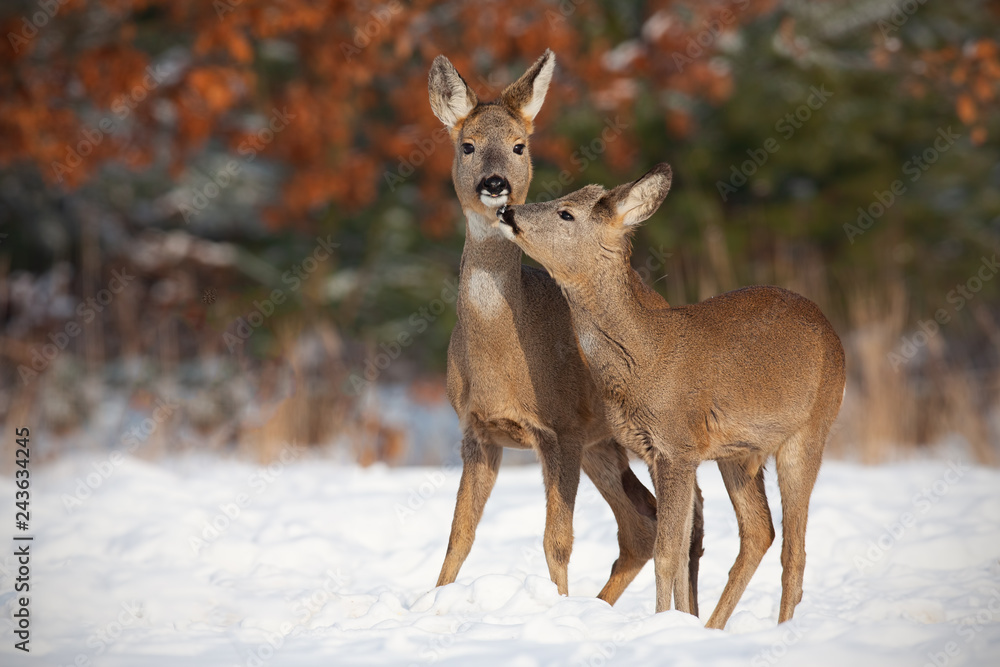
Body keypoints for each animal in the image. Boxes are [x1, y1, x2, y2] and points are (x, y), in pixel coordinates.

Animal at [428, 52, 705, 609]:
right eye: (467, 145)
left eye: (520, 145)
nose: (496, 184)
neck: (504, 361)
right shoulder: (476, 430)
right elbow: (459, 534)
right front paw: (433, 602)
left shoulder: (562, 428)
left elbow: (557, 539)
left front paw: (556, 605)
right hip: (605, 444)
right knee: (641, 525)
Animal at [494, 163, 846, 628]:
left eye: (566, 213)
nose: (509, 211)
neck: (646, 355)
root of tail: (833, 333)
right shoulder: (657, 450)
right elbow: (679, 550)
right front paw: (680, 624)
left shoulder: (677, 446)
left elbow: (665, 553)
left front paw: (661, 623)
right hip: (737, 453)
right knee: (759, 531)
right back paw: (714, 626)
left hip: (810, 430)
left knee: (795, 549)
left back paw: (782, 629)